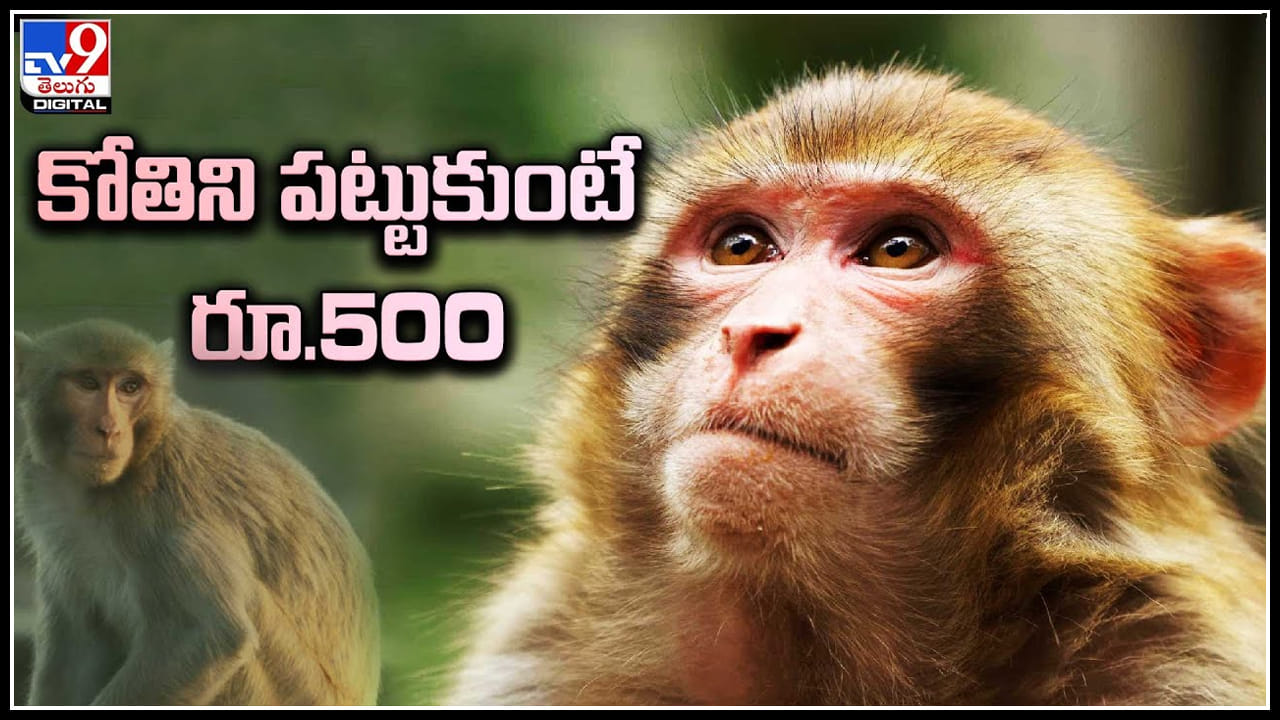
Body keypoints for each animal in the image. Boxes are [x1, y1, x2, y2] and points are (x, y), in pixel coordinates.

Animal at [14, 319, 381, 706]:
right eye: (87, 383)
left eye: (130, 387)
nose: (109, 430)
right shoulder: (38, 492)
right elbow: (77, 645)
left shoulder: (164, 503)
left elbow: (207, 634)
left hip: (297, 690)